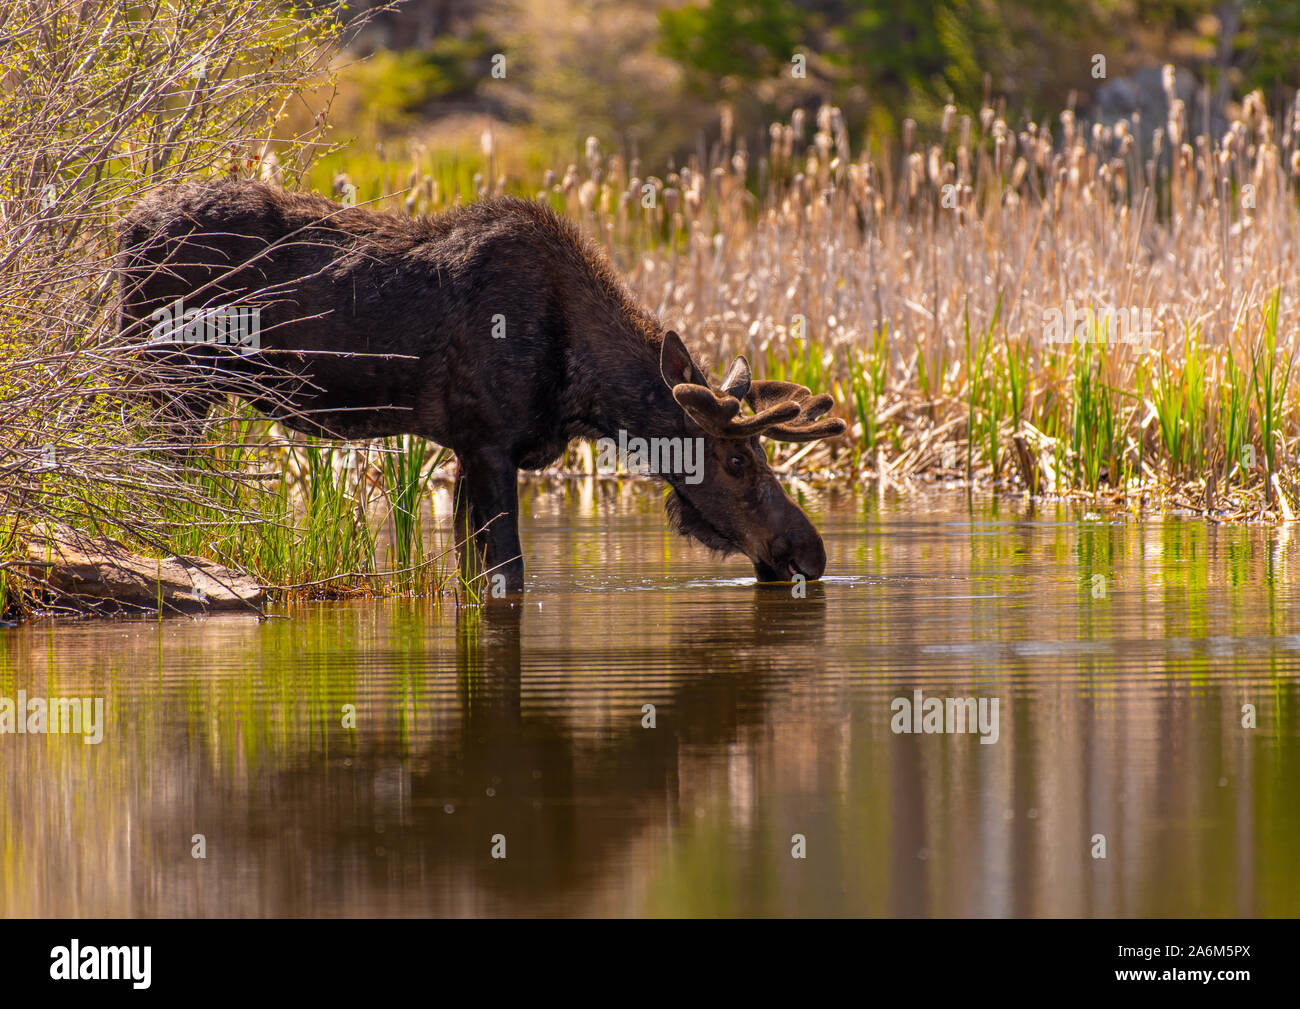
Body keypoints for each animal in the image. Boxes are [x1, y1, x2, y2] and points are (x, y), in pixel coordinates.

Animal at [116, 180, 846, 593]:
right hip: (173, 377)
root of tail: (125, 229)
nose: (809, 550)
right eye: (736, 459)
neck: (583, 393)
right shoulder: (489, 442)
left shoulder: (466, 449)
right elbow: (510, 575)